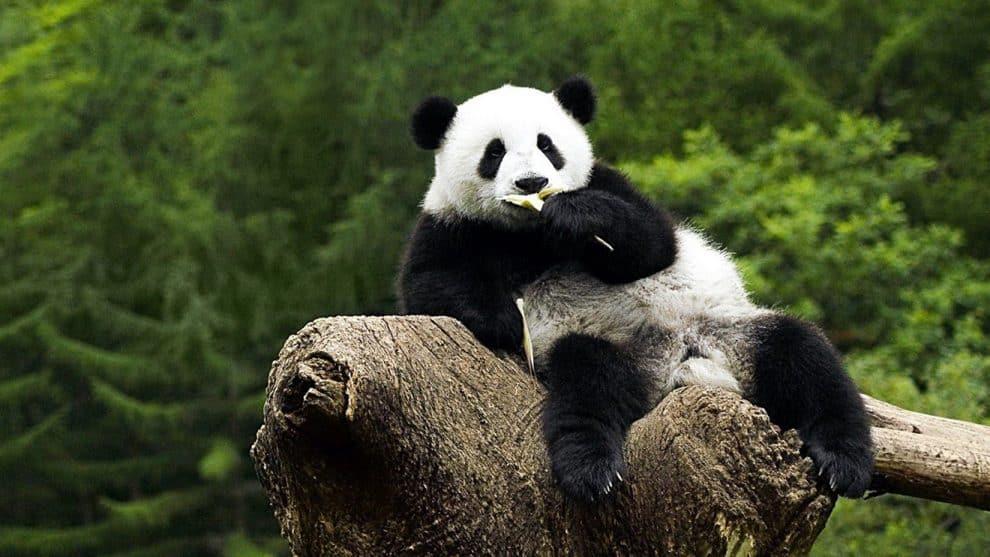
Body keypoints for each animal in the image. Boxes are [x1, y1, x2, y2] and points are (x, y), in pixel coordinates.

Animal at [398, 76, 873, 503]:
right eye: (494, 152)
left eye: (547, 145)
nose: (532, 183)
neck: (528, 233)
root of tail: (681, 362)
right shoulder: (450, 225)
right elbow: (429, 286)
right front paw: (504, 319)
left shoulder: (608, 183)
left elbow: (653, 242)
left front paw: (575, 216)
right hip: (611, 349)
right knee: (588, 384)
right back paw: (591, 470)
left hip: (731, 330)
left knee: (805, 357)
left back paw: (843, 461)